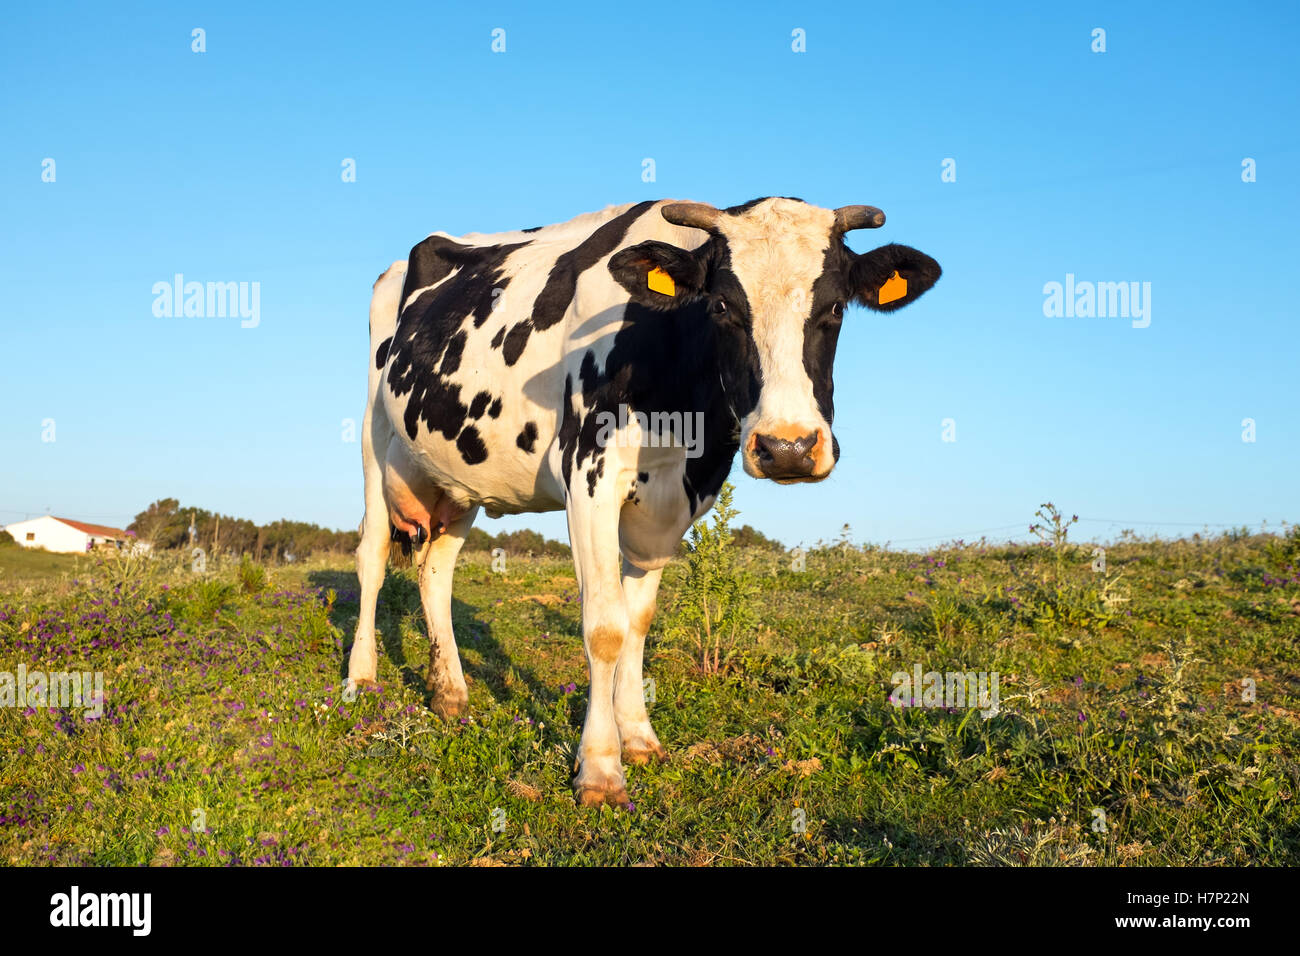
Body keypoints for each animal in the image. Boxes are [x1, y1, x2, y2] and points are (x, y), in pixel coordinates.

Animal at [347, 197, 941, 806]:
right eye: (722, 306)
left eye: (837, 307)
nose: (789, 447)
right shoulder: (589, 473)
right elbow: (604, 626)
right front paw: (600, 769)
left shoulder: (678, 498)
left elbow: (638, 622)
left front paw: (637, 737)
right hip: (371, 434)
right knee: (371, 557)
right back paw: (362, 681)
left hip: (454, 472)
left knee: (435, 571)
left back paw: (450, 694)